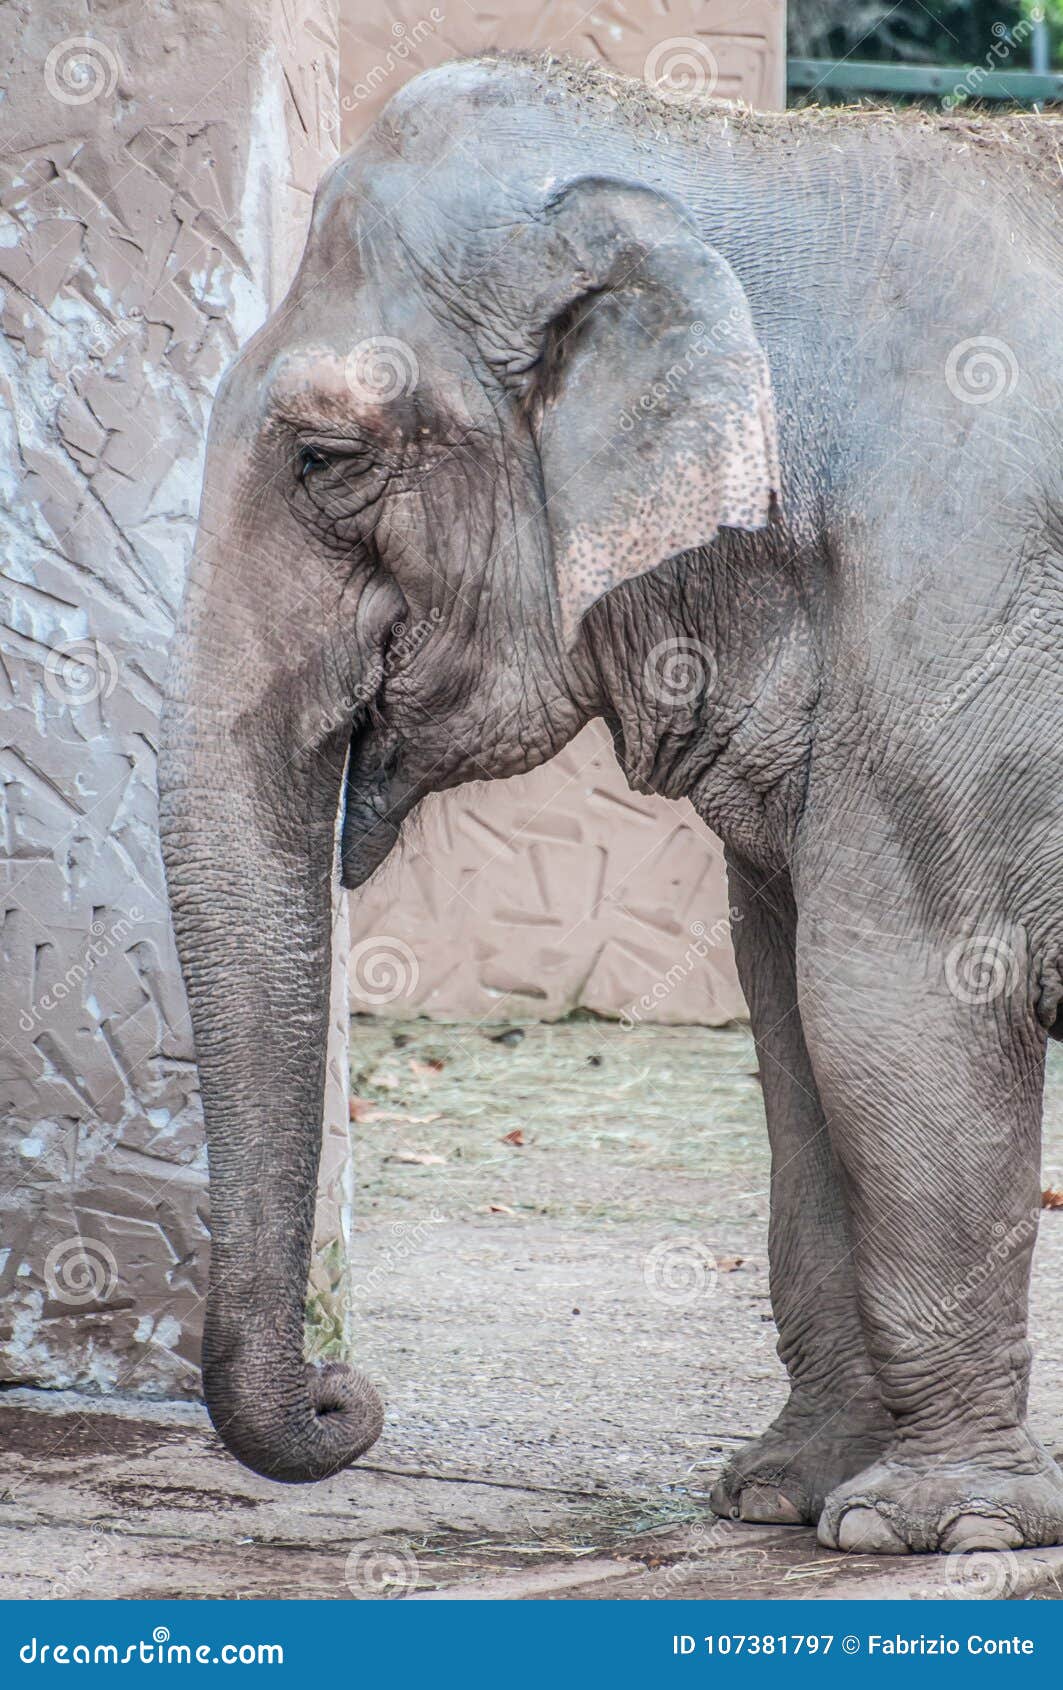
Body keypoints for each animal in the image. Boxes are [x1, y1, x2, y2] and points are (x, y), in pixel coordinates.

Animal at [158, 51, 1063, 1556]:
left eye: (325, 459)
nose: (349, 1398)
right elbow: (792, 1022)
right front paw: (774, 1493)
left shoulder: (958, 619)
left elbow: (894, 1007)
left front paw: (926, 1526)